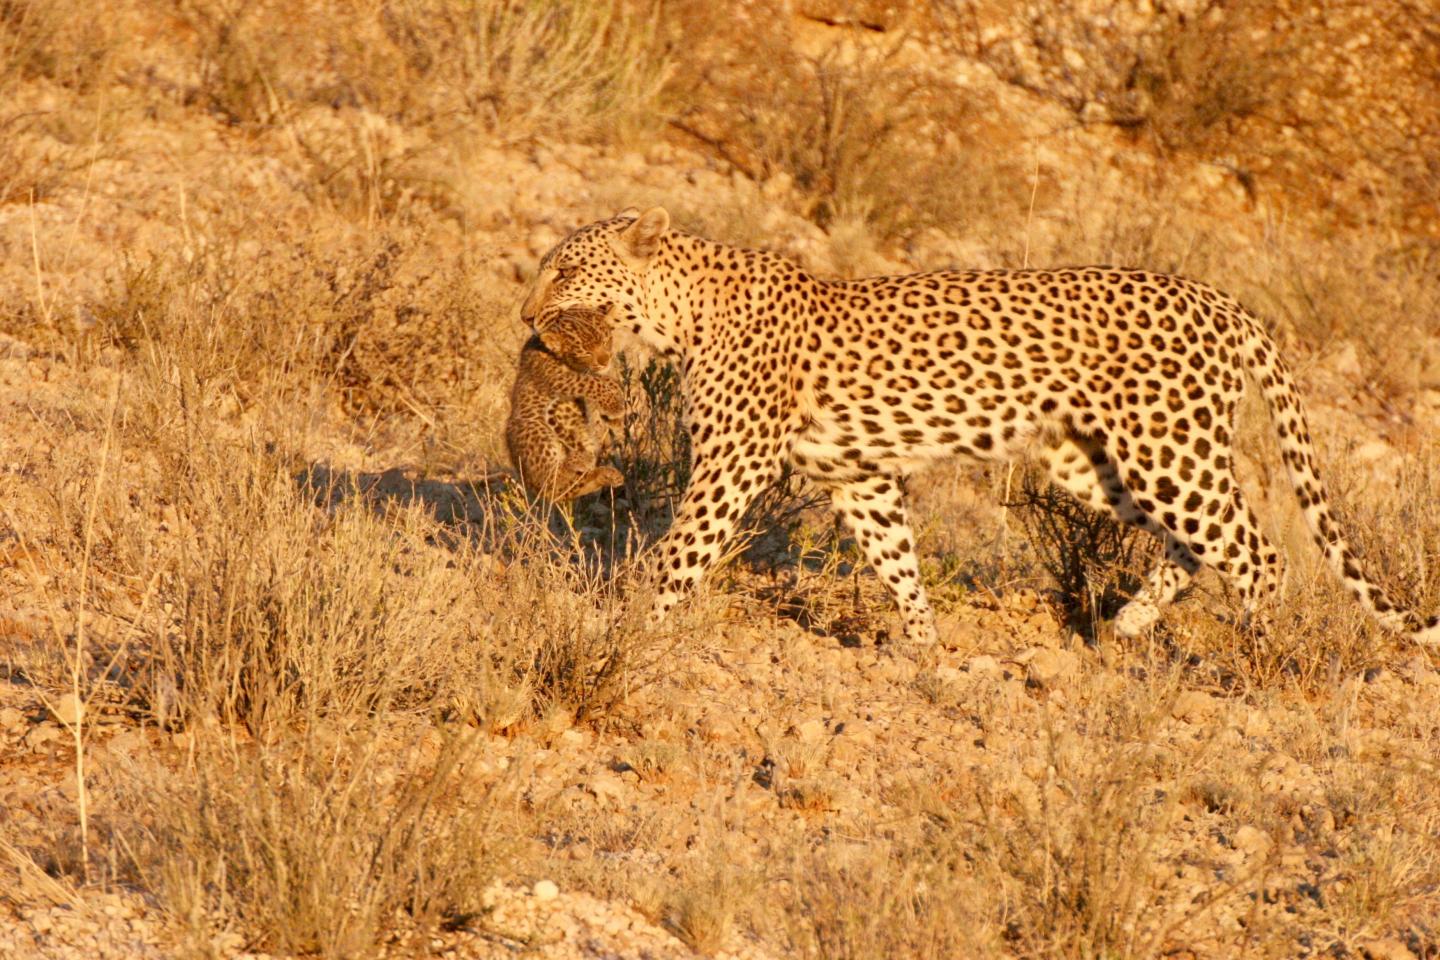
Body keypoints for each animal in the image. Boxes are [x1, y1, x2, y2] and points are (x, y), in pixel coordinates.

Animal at [505, 304, 626, 502]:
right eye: (585, 351)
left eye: (606, 340)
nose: (605, 361)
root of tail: (530, 484)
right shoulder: (558, 378)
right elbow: (590, 381)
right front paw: (615, 405)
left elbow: (603, 379)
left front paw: (615, 401)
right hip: (536, 432)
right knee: (551, 482)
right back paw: (581, 460)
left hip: (582, 437)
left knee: (566, 488)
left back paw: (605, 473)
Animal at [519, 206, 1440, 647]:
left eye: (564, 269)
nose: (525, 315)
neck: (680, 311)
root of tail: (1222, 299)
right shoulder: (861, 476)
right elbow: (896, 560)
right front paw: (926, 648)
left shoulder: (734, 462)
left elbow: (677, 554)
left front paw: (626, 627)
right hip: (1095, 464)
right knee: (1191, 548)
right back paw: (1128, 629)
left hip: (1165, 448)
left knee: (1257, 551)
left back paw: (1259, 656)